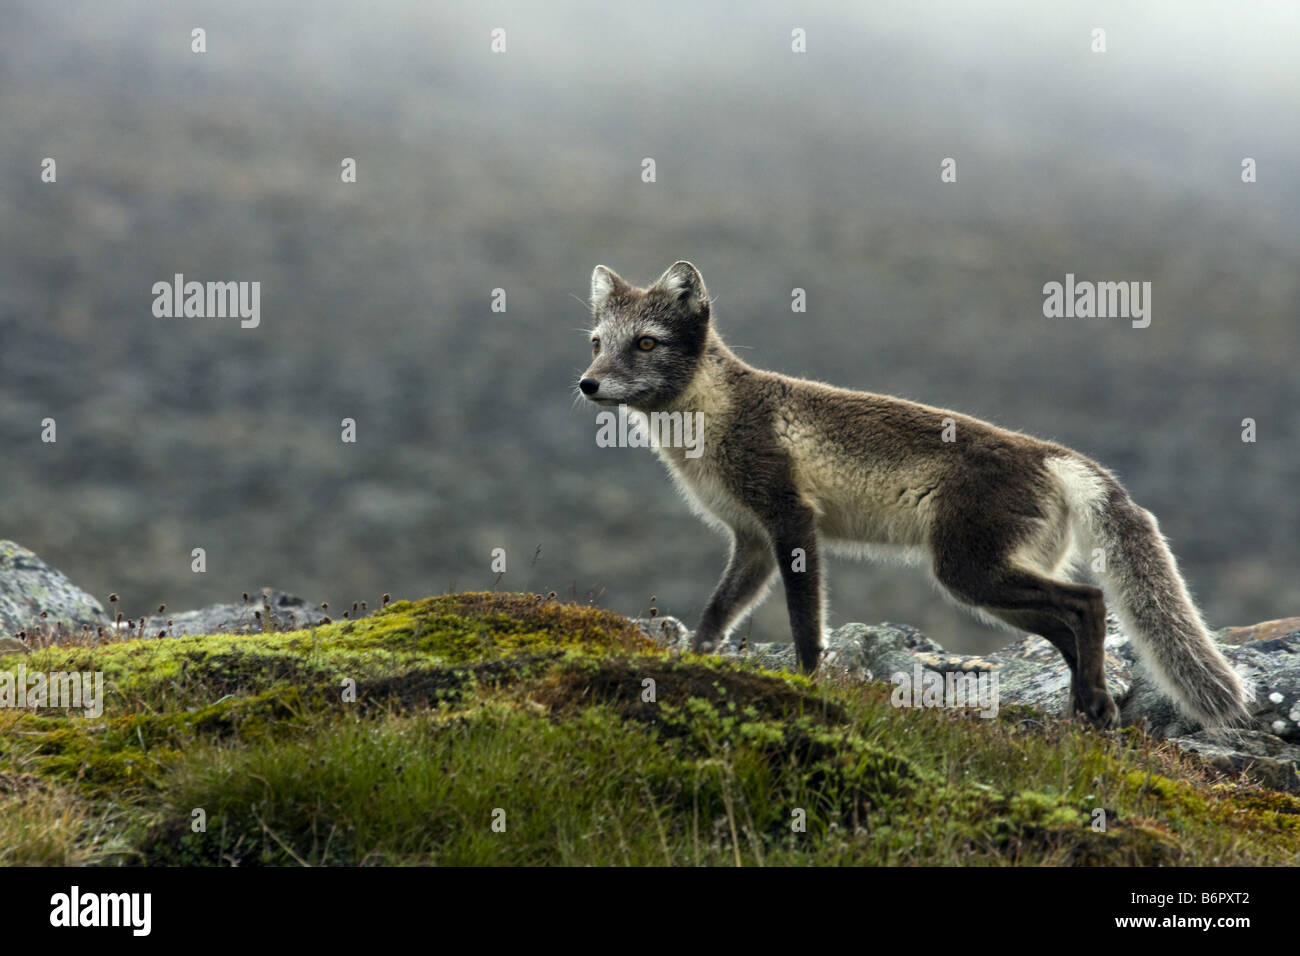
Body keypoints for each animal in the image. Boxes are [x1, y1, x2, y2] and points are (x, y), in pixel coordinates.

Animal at [577, 260, 1251, 731]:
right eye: (596, 342)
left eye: (646, 342)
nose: (586, 384)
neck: (708, 419)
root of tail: (1052, 455)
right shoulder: (753, 539)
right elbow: (716, 615)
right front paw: (689, 665)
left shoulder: (792, 523)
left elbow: (805, 624)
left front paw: (809, 684)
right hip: (986, 582)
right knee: (1064, 623)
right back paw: (1092, 705)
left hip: (969, 571)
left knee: (1087, 602)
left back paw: (1091, 703)